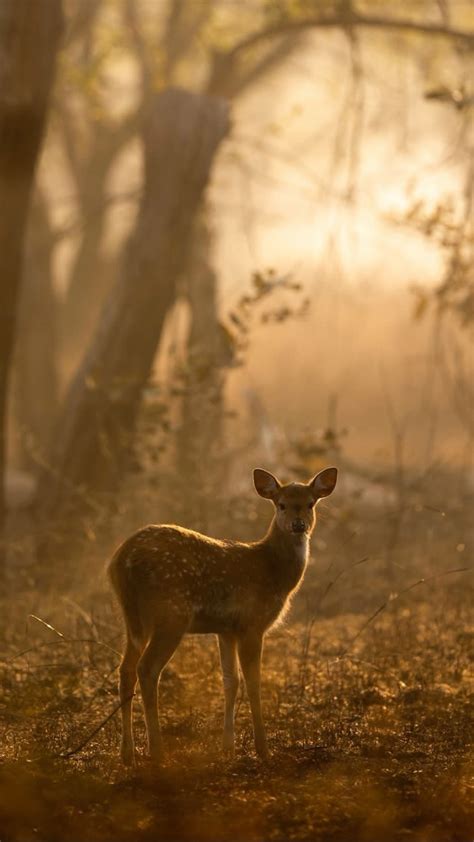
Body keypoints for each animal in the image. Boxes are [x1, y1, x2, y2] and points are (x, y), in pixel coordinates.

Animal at [108, 466, 337, 765]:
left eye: (310, 503)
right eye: (281, 504)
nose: (298, 524)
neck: (272, 571)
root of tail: (121, 562)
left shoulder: (226, 629)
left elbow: (231, 681)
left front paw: (227, 746)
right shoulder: (252, 623)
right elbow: (253, 683)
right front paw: (263, 749)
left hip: (133, 618)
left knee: (125, 670)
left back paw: (127, 753)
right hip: (171, 613)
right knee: (147, 669)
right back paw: (157, 752)